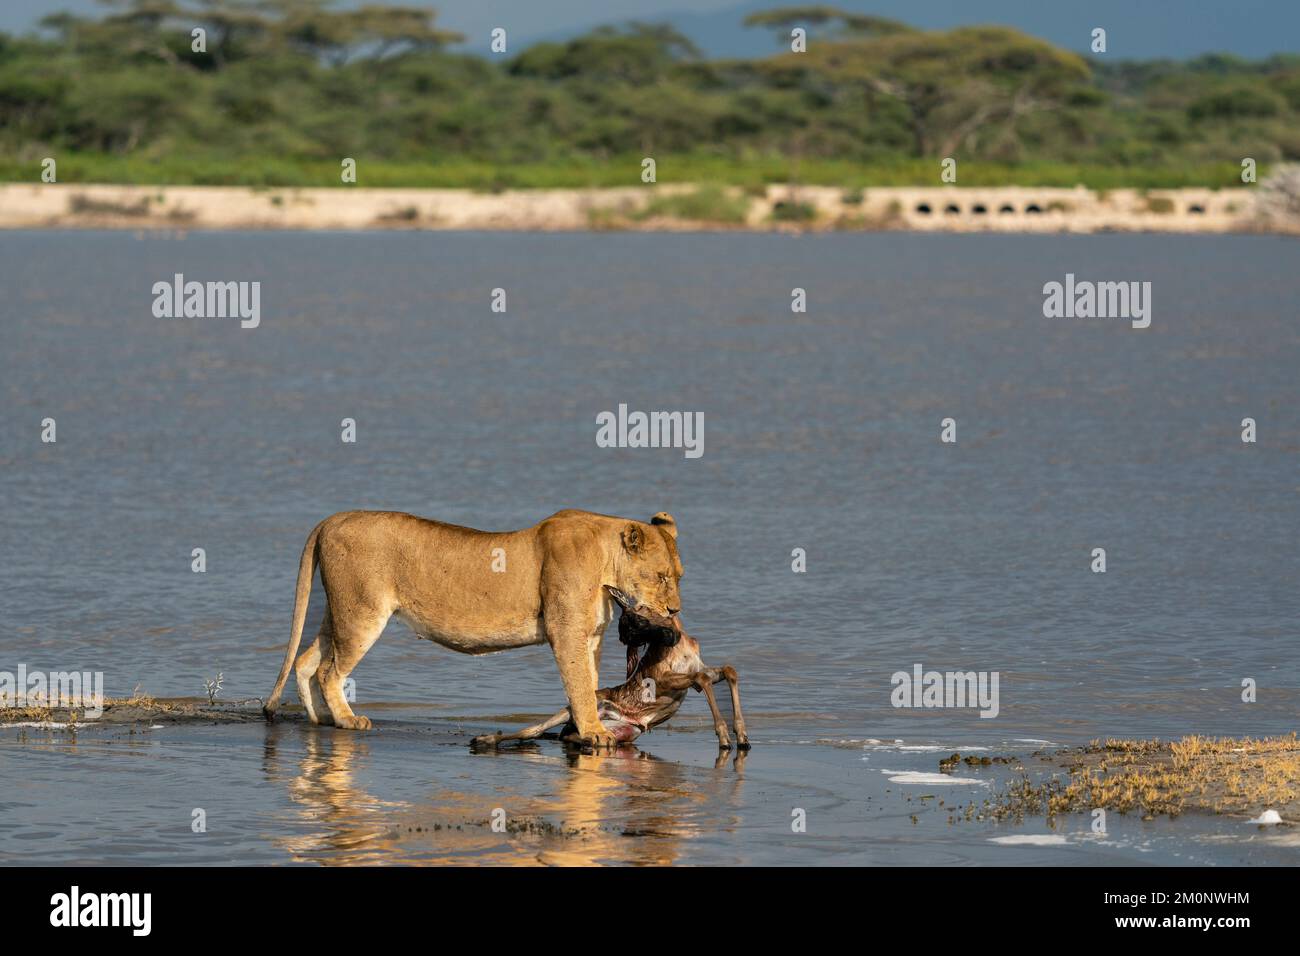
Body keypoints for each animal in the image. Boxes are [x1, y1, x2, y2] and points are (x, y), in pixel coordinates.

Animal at [262, 509, 684, 748]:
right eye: (662, 577)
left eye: (678, 576)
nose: (675, 609)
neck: (606, 565)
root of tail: (332, 519)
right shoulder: (566, 633)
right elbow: (579, 685)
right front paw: (596, 733)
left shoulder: (590, 636)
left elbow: (589, 684)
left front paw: (583, 728)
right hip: (362, 613)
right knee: (329, 671)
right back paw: (348, 720)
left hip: (338, 613)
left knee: (306, 662)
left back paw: (320, 720)